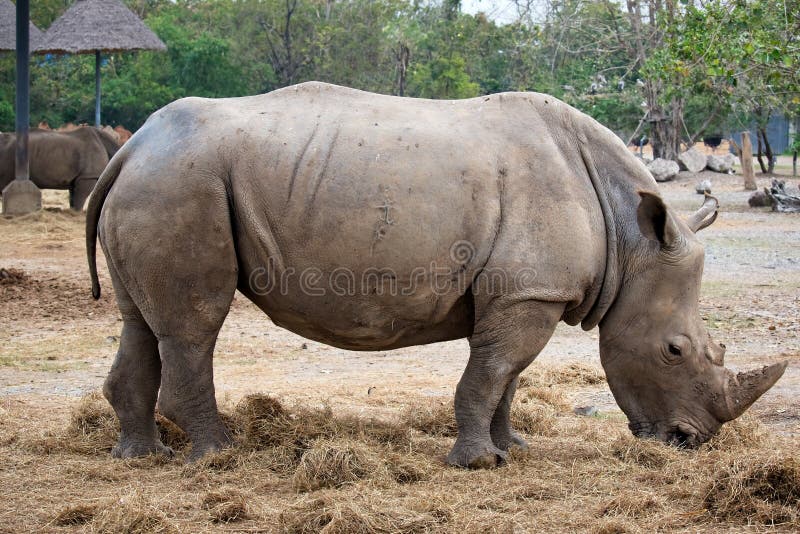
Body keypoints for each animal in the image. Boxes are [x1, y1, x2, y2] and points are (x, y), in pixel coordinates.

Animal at [86, 82, 786, 468]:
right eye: (674, 351)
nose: (688, 442)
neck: (630, 241)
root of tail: (130, 146)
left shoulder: (526, 293)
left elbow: (508, 377)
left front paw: (513, 449)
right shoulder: (531, 291)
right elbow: (491, 373)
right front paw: (478, 464)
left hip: (160, 182)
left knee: (139, 319)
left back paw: (142, 455)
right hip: (183, 182)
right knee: (193, 327)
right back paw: (219, 455)